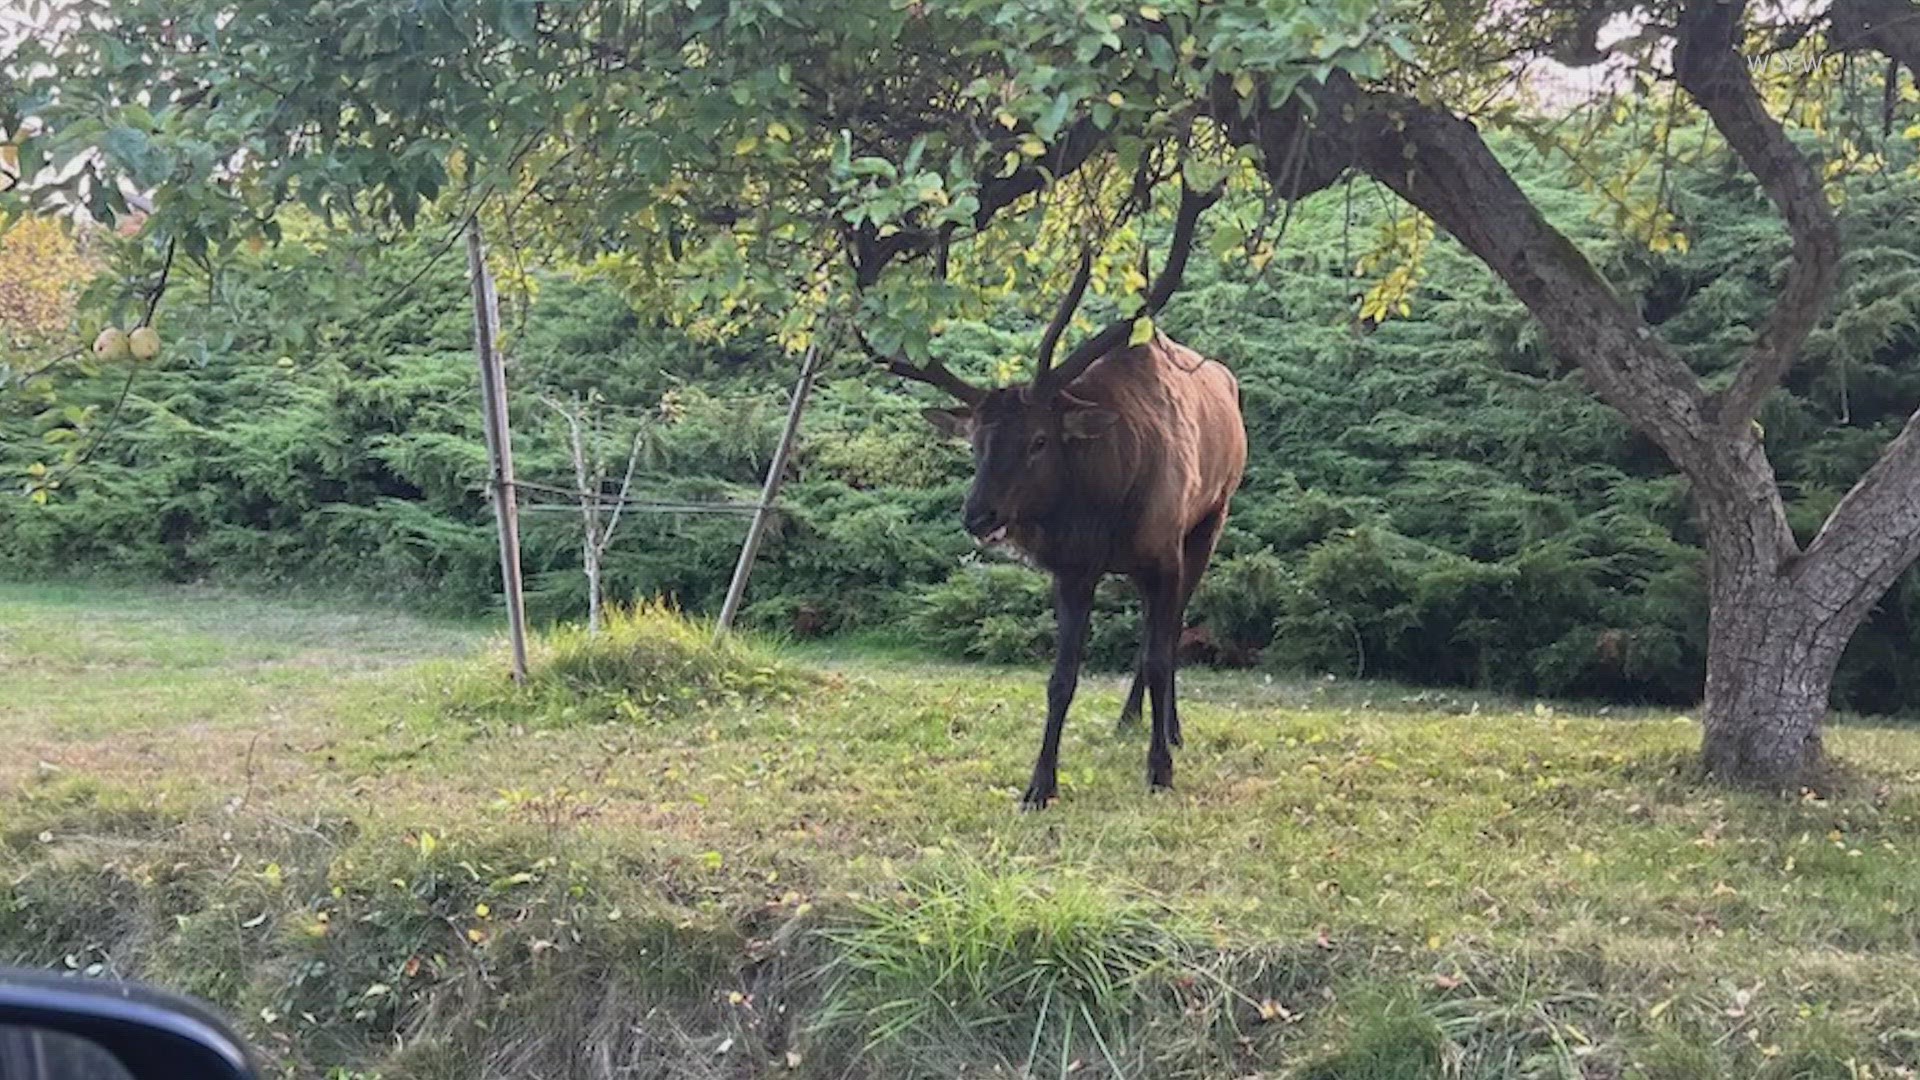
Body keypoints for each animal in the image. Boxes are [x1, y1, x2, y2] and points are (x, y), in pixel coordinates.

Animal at [868, 183, 1247, 810]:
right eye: (974, 441)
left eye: (1040, 440)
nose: (979, 515)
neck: (1105, 506)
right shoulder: (1073, 569)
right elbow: (1061, 677)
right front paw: (1040, 784)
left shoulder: (1166, 551)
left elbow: (1162, 653)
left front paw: (1160, 769)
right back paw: (1128, 719)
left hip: (1211, 520)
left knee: (1169, 632)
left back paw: (1169, 729)